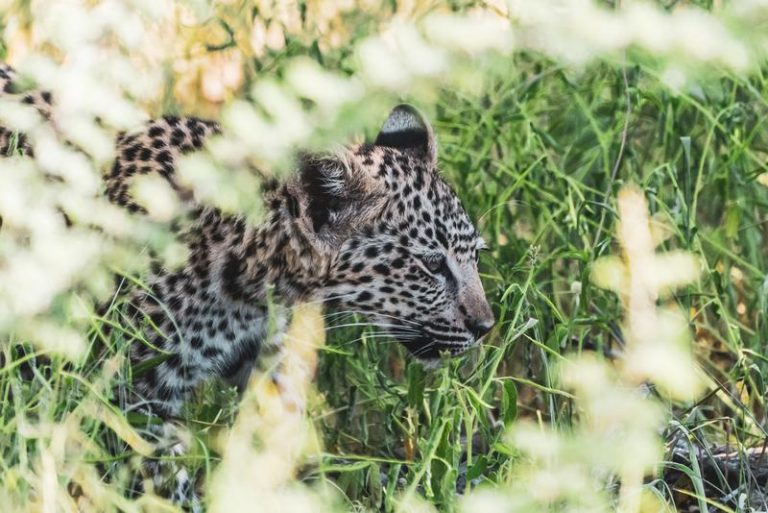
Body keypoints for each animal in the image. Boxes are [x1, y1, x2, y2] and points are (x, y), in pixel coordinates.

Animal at [0, 63, 495, 510]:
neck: (255, 280)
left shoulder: (267, 371)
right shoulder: (134, 396)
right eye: (432, 265)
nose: (486, 327)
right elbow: (168, 485)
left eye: (473, 256)